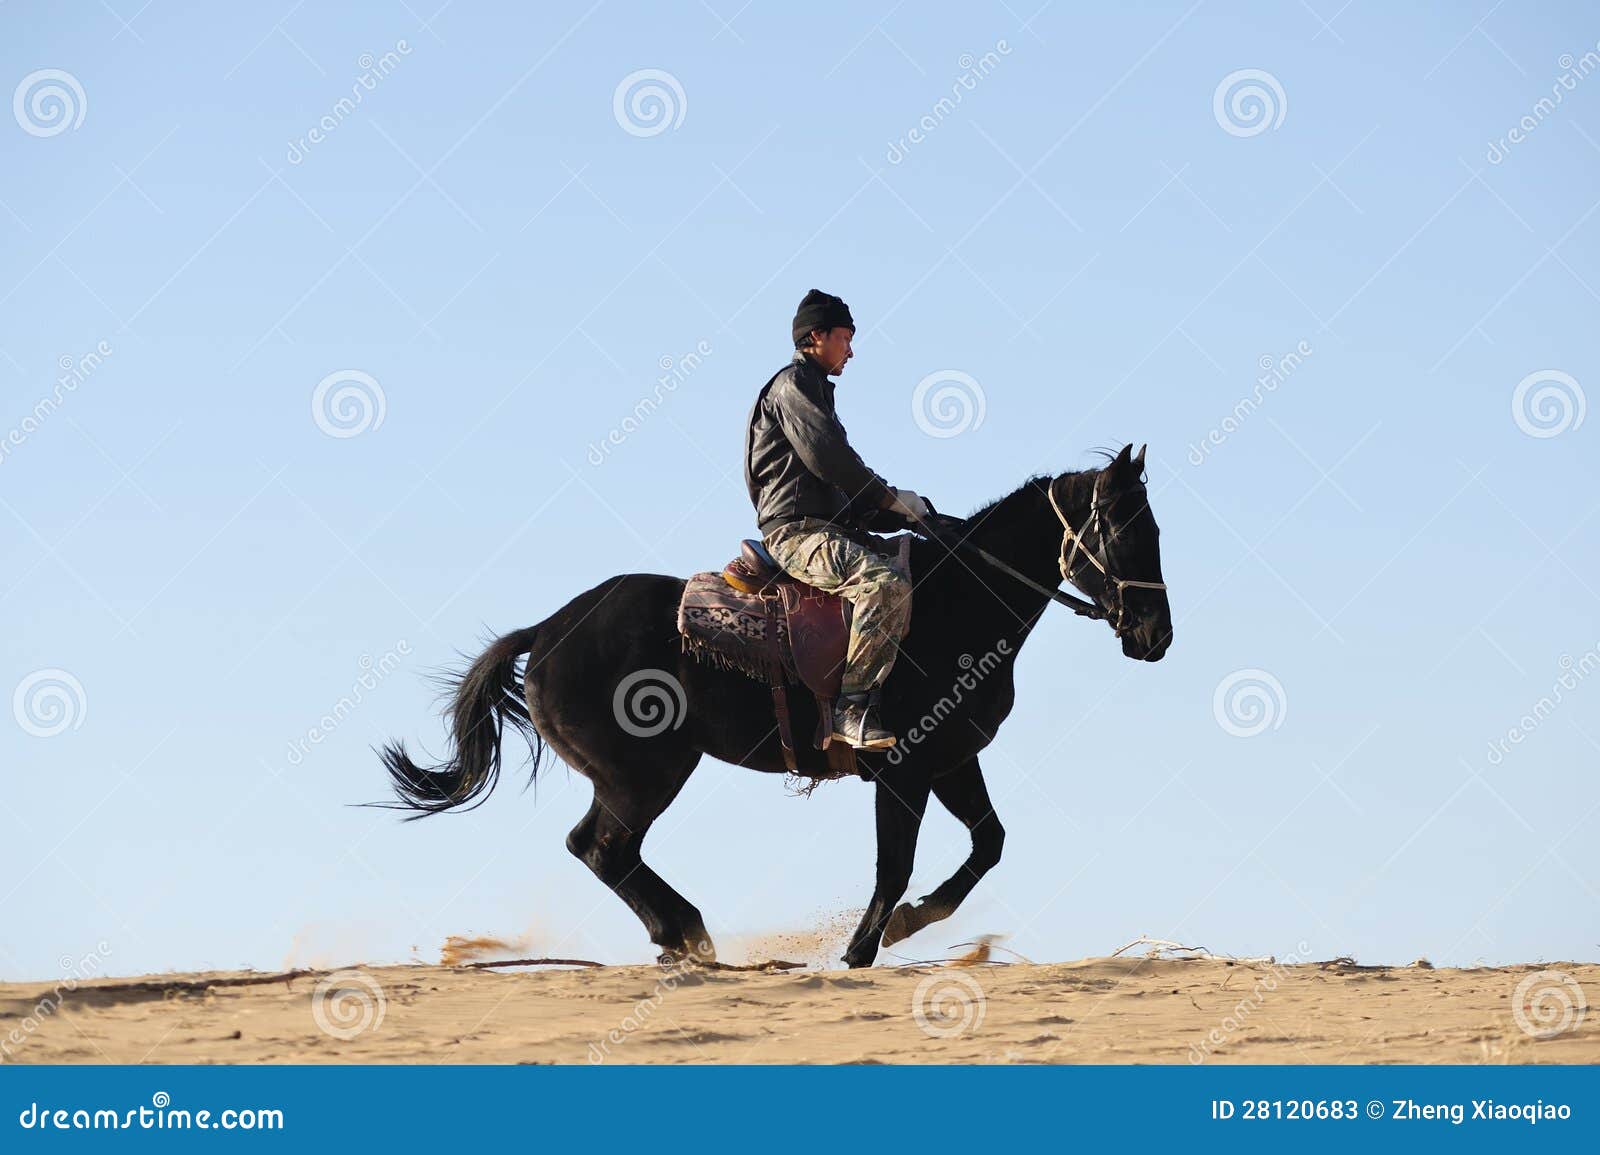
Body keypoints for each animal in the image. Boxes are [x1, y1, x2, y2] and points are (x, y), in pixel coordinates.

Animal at [381, 443, 1172, 968]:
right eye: (1123, 527)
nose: (1155, 634)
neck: (958, 602)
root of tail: (545, 631)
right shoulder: (902, 771)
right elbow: (895, 865)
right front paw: (862, 949)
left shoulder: (949, 762)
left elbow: (988, 843)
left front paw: (910, 924)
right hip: (645, 775)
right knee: (601, 847)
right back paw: (687, 935)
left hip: (637, 776)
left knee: (605, 849)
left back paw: (685, 938)